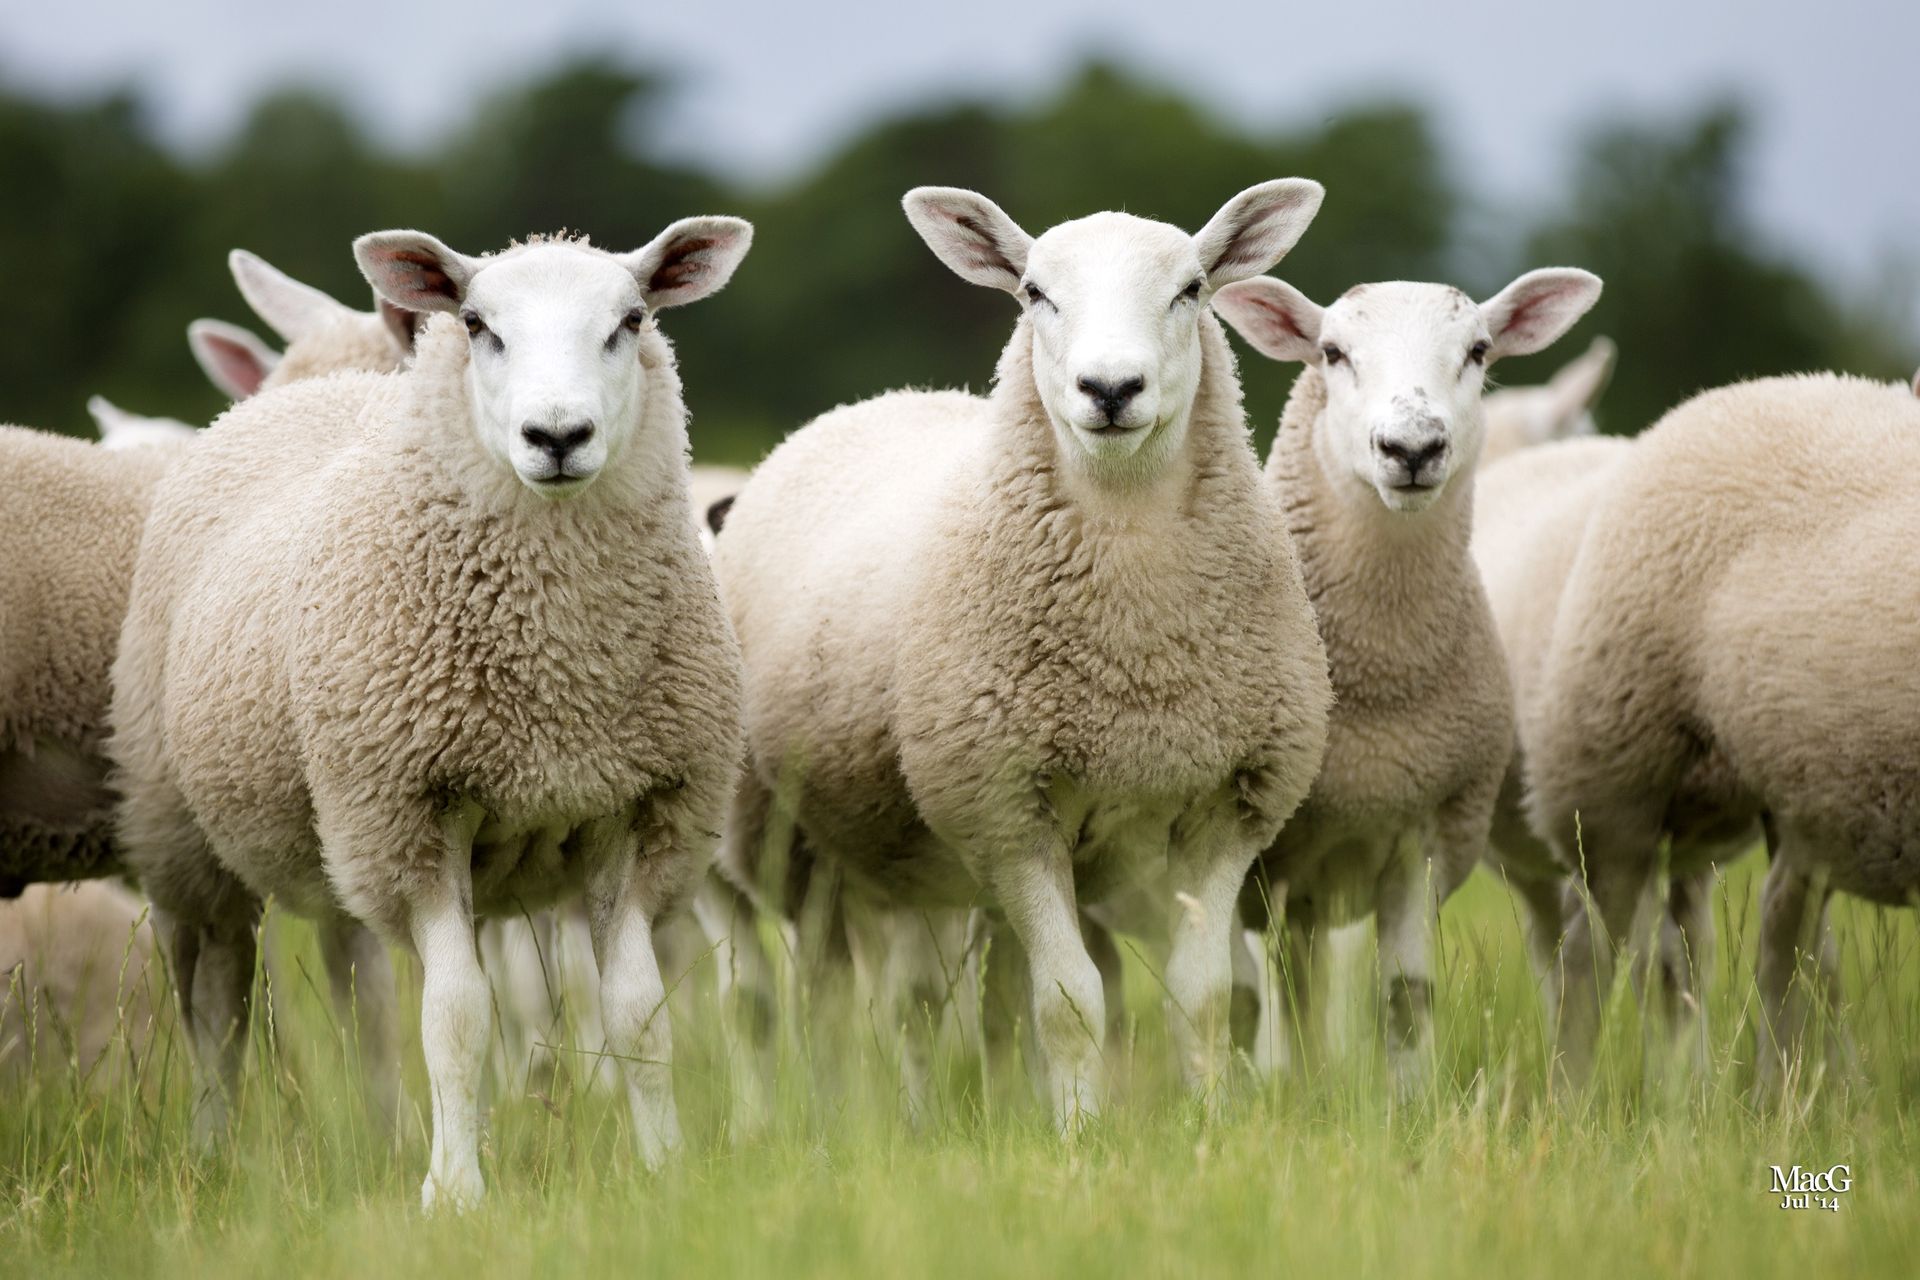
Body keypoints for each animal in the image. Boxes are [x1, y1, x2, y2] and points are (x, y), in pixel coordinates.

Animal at [109, 220, 753, 1208]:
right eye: (479, 325)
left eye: (632, 320)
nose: (556, 435)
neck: (561, 676)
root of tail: (306, 396)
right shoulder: (411, 816)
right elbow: (454, 1019)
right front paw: (454, 1193)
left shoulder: (633, 809)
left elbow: (637, 1015)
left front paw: (662, 1167)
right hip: (188, 832)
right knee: (216, 1000)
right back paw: (214, 1153)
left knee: (358, 993)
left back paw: (389, 1132)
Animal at [712, 181, 1334, 1128]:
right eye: (1035, 292)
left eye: (1192, 289)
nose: (1110, 388)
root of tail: (884, 397)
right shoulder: (1007, 810)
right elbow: (1070, 1002)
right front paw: (1079, 1136)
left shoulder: (1229, 806)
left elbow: (1206, 997)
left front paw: (1208, 1125)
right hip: (799, 849)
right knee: (831, 999)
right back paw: (845, 1120)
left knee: (956, 996)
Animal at [1210, 268, 1601, 1089]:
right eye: (1332, 352)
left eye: (1479, 350)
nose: (1413, 447)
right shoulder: (1236, 845)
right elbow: (1234, 1000)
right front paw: (1229, 1100)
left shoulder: (1422, 835)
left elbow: (1406, 999)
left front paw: (1409, 1101)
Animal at [1522, 372, 1920, 1087]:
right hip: (1616, 763)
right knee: (1593, 953)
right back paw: (1575, 1094)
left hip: (1800, 790)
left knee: (1786, 929)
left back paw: (1789, 1086)